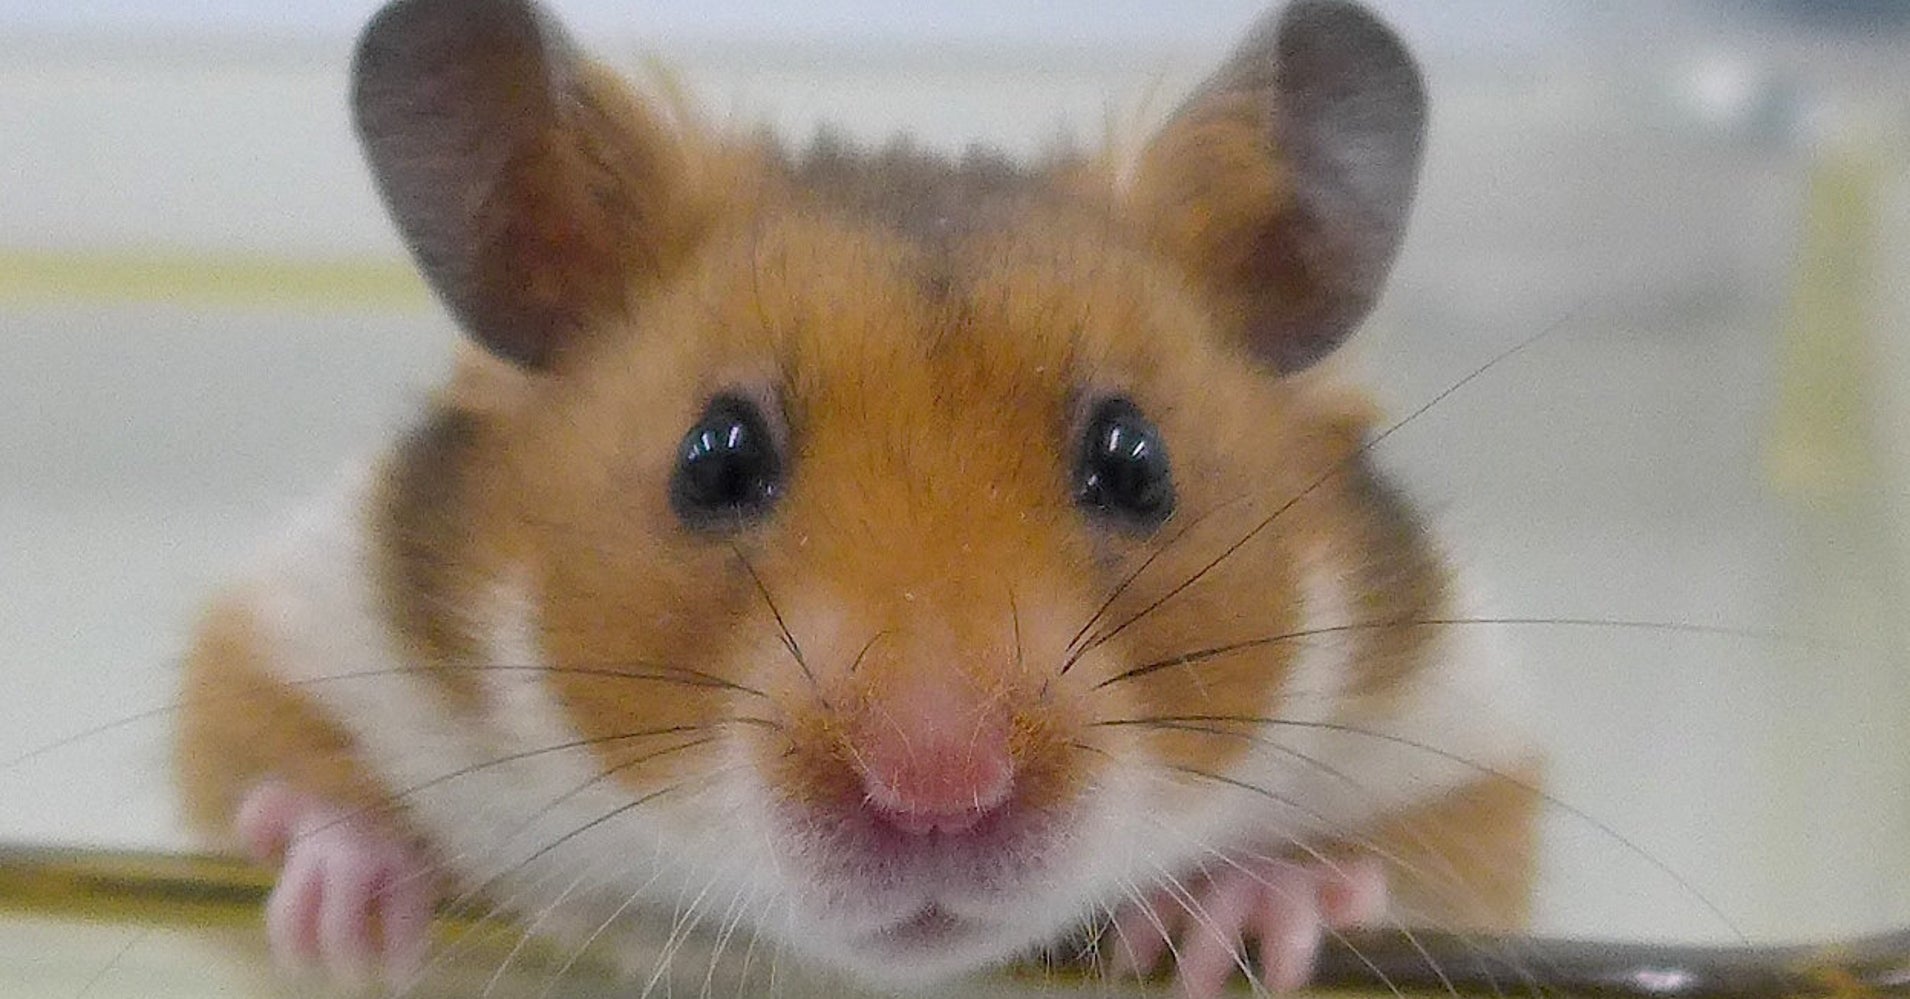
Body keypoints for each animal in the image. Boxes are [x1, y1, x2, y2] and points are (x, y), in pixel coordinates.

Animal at [172, 0, 1542, 995]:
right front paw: (345, 913)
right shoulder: (290, 634)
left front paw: (1233, 922)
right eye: (713, 458)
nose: (936, 791)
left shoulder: (1462, 748)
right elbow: (257, 771)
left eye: (1135, 462)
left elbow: (1423, 861)